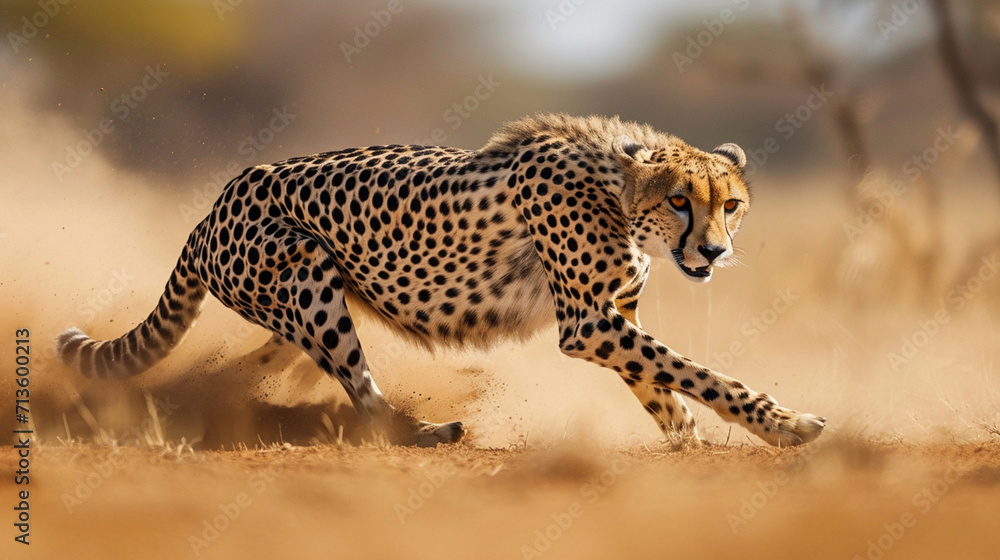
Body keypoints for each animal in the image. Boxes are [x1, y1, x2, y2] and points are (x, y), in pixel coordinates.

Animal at [57, 113, 826, 448]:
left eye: (731, 204)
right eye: (681, 201)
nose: (715, 252)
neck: (620, 192)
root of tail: (217, 201)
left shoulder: (615, 316)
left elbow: (660, 382)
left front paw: (687, 439)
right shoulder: (588, 323)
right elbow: (697, 372)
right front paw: (783, 424)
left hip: (295, 300)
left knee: (265, 361)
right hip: (307, 274)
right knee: (360, 388)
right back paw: (418, 431)